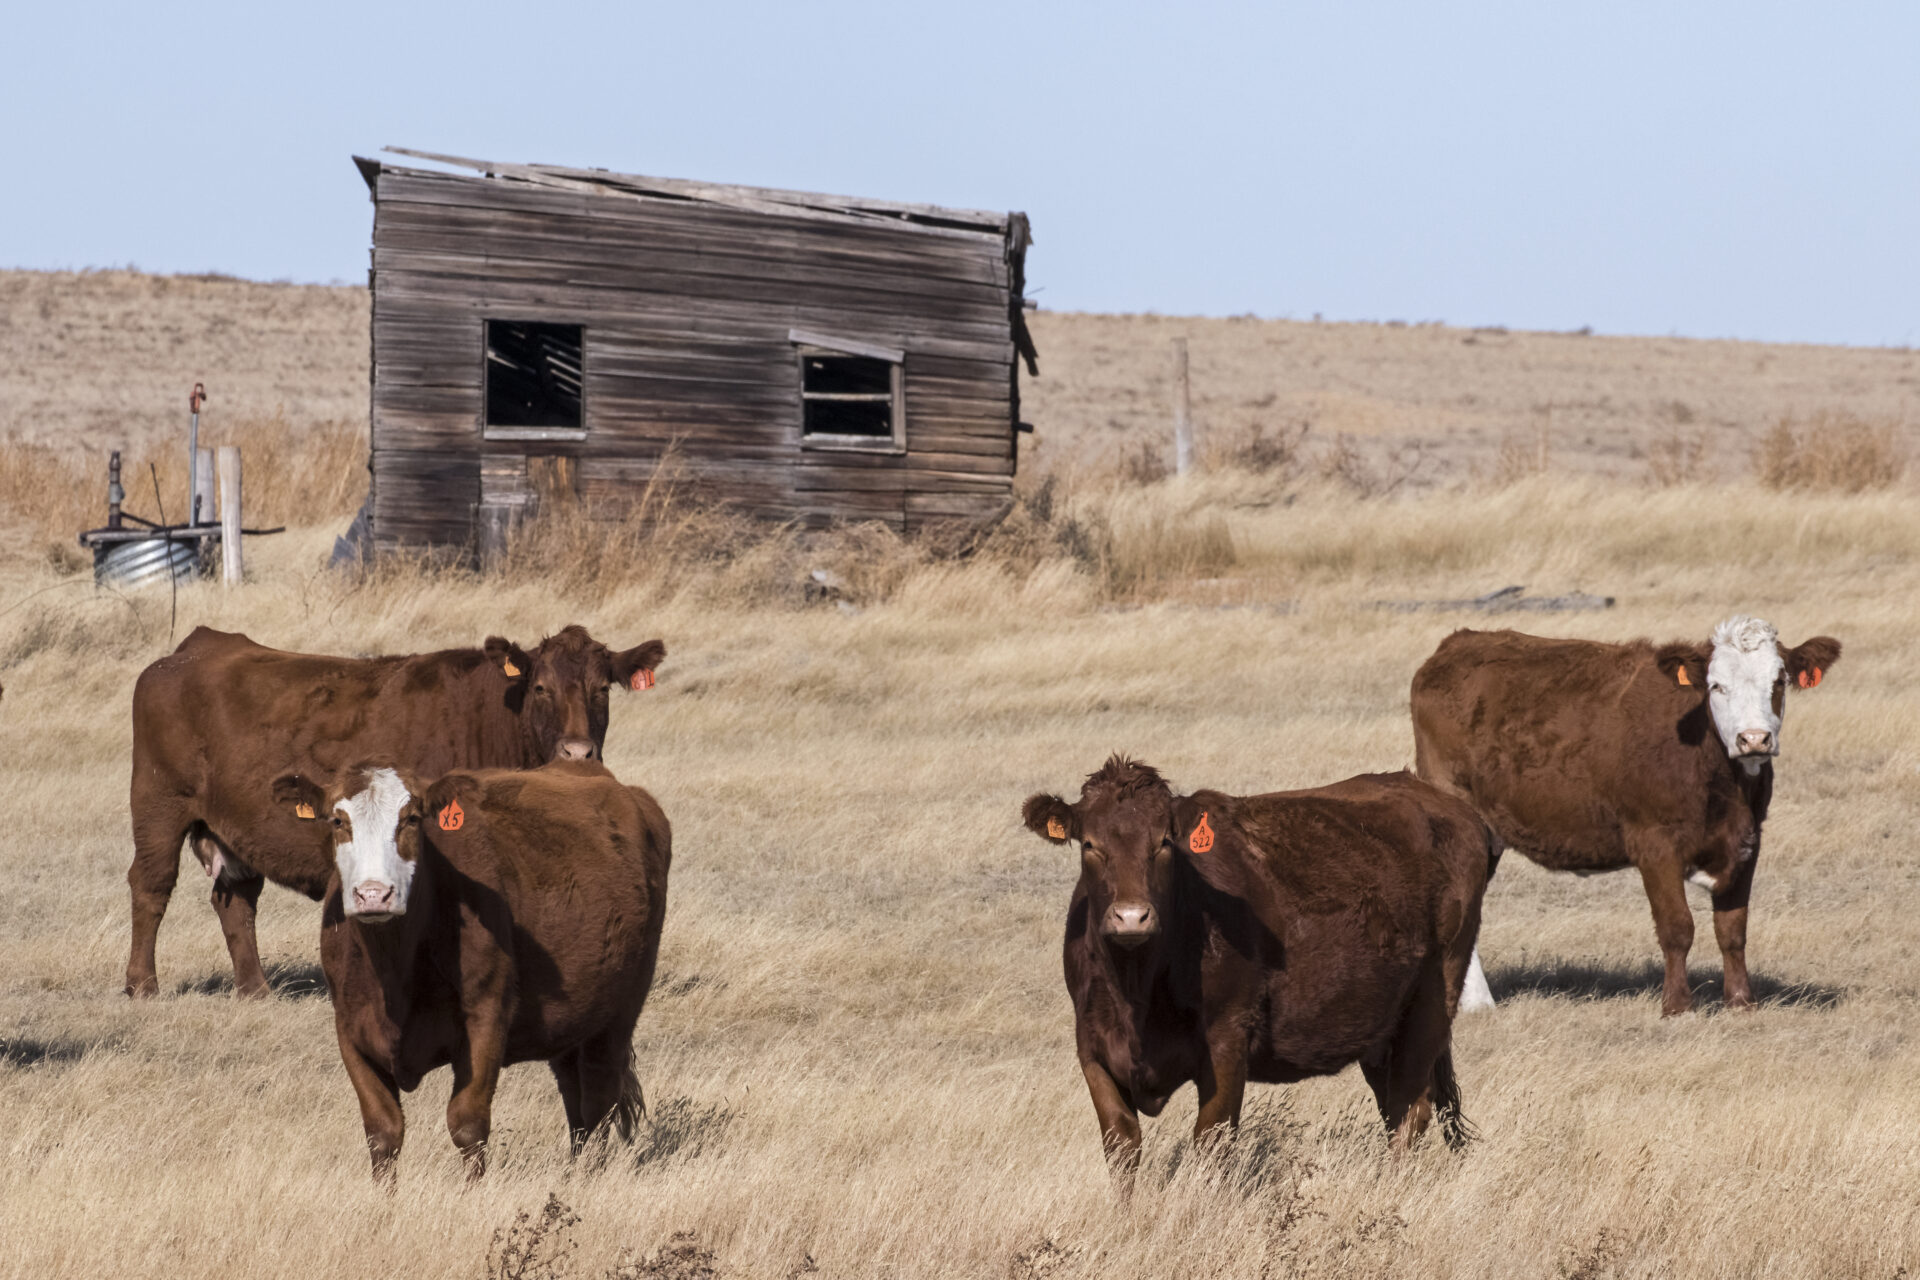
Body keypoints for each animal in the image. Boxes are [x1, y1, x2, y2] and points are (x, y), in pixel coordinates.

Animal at [126, 624, 664, 999]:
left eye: (602, 689)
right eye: (540, 688)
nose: (578, 752)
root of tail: (197, 646)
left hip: (234, 828)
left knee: (235, 900)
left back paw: (255, 989)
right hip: (158, 805)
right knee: (150, 886)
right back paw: (142, 985)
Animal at [270, 758, 671, 1184]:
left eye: (412, 819)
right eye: (337, 820)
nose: (374, 894)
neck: (394, 972)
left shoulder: (486, 1018)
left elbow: (468, 1124)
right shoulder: (350, 1029)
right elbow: (383, 1131)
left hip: (620, 1012)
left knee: (598, 1099)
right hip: (573, 1020)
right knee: (574, 1098)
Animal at [1022, 757, 1491, 1193]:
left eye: (1164, 843)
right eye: (1089, 845)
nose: (1132, 917)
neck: (1136, 992)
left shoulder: (1228, 1040)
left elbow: (1211, 1142)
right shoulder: (1093, 1047)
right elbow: (1121, 1145)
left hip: (1435, 996)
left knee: (1410, 1107)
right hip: (1380, 1025)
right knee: (1394, 1106)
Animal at [1411, 616, 1841, 1017]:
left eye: (1779, 681)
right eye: (1717, 686)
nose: (1753, 739)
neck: (1721, 784)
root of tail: (1456, 645)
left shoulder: (1746, 841)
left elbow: (1732, 930)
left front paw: (1741, 1002)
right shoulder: (1655, 843)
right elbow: (1677, 928)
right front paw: (1677, 1006)